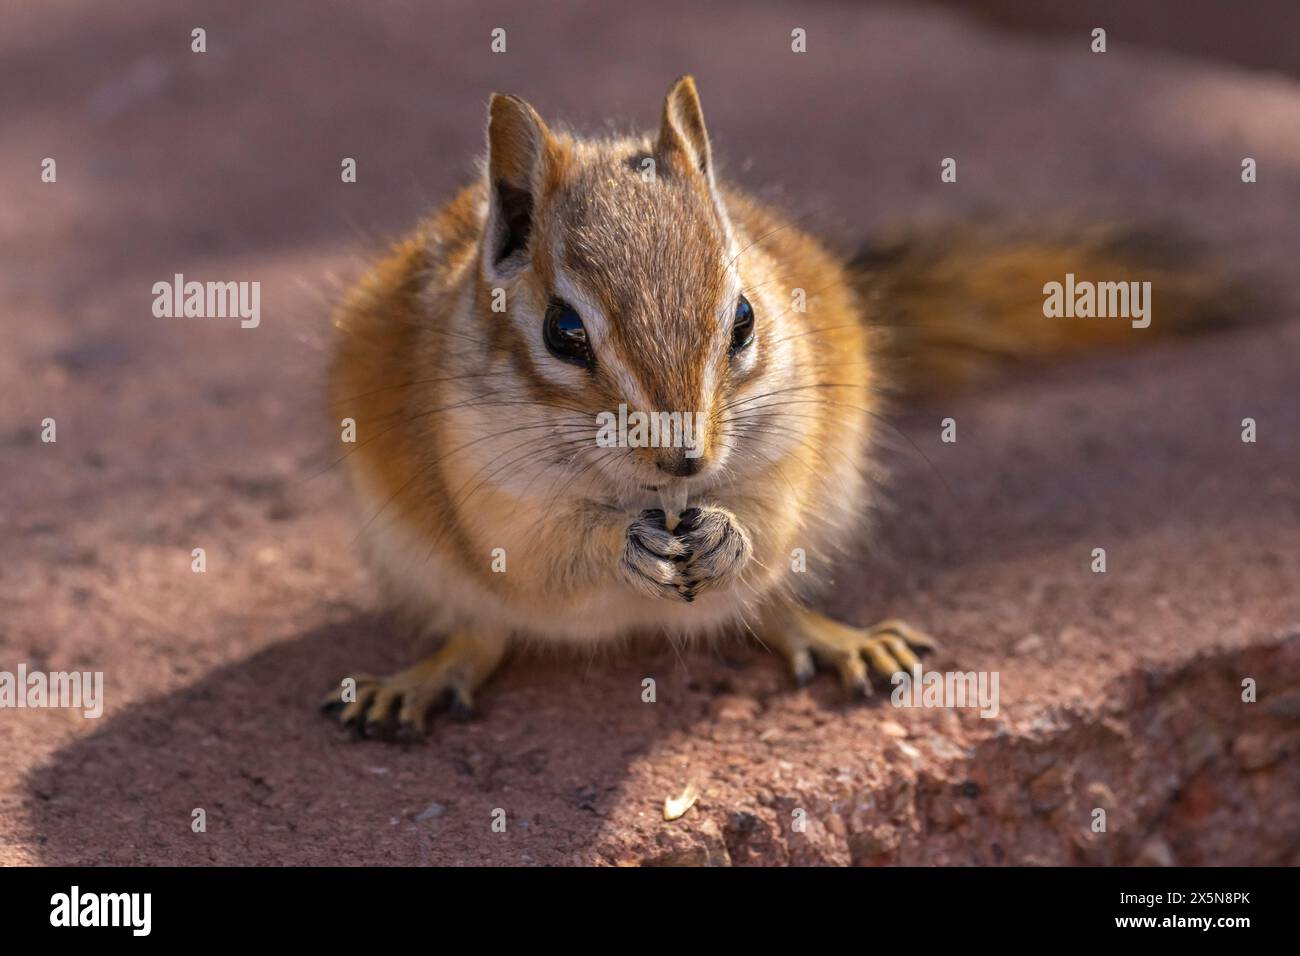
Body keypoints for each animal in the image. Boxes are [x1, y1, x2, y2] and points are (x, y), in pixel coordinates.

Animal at [323, 76, 1243, 739]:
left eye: (743, 318)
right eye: (561, 331)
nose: (686, 459)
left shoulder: (788, 447)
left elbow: (768, 518)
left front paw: (728, 535)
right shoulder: (484, 481)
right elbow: (541, 559)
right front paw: (624, 547)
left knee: (769, 609)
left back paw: (839, 638)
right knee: (484, 634)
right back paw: (418, 682)